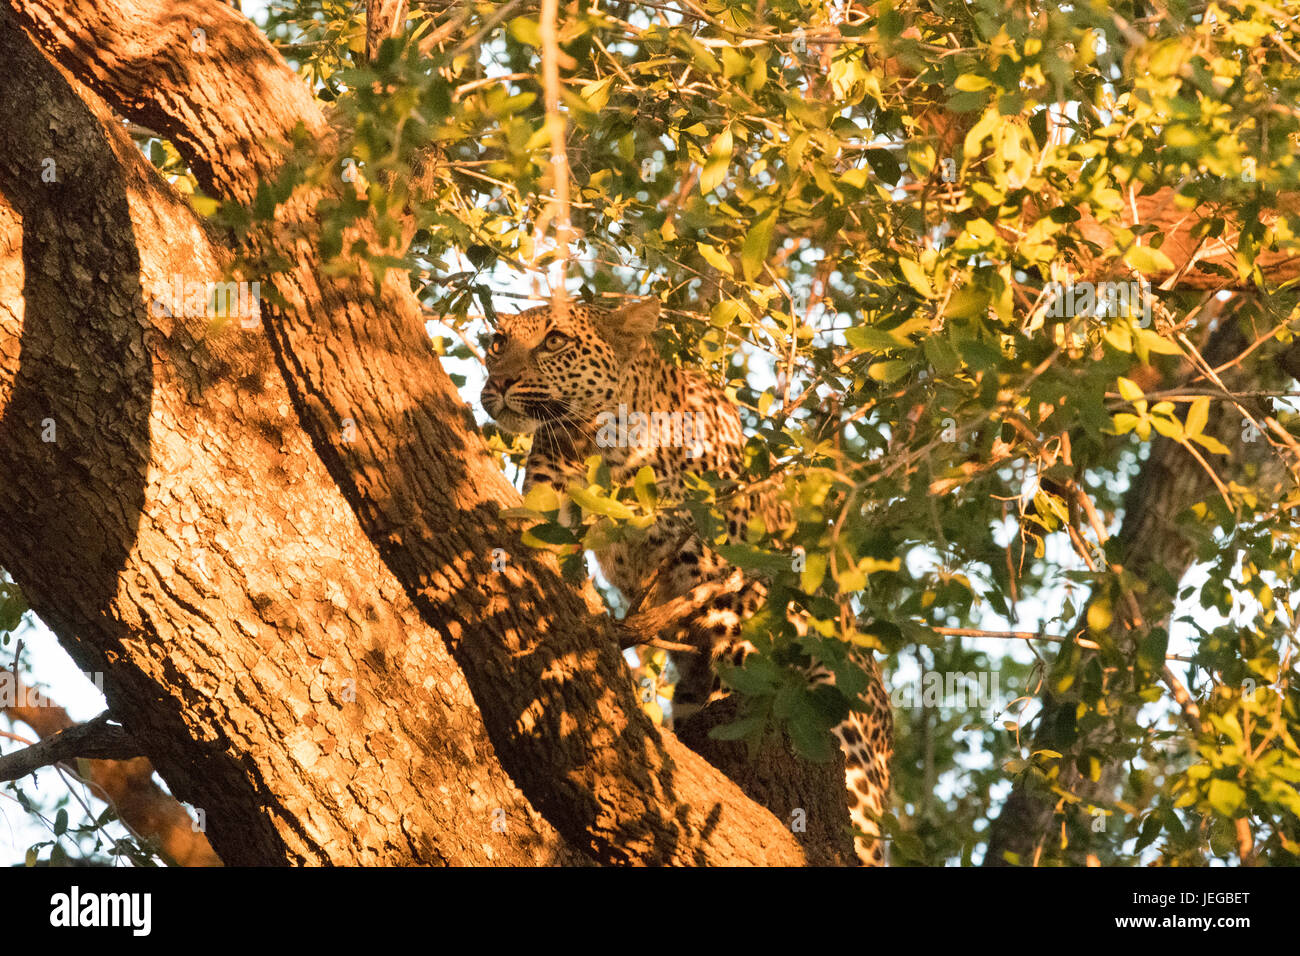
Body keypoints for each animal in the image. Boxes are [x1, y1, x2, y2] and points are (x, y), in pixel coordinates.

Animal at [480, 297, 893, 865]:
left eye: (555, 341)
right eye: (497, 342)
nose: (500, 381)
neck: (601, 446)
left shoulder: (731, 591)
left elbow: (738, 668)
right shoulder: (551, 502)